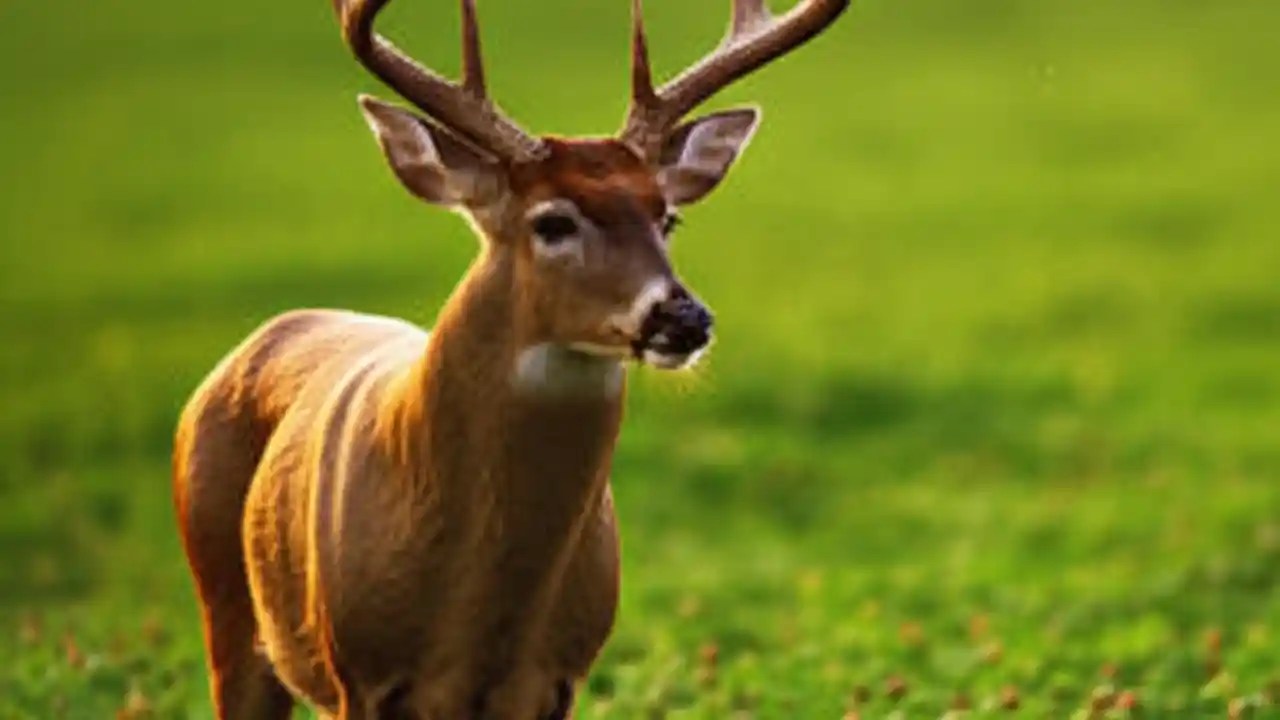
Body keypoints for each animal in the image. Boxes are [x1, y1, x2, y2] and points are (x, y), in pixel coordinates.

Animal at [172, 0, 847, 717]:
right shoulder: (358, 672)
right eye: (553, 221)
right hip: (226, 603)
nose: (683, 318)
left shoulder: (559, 678)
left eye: (667, 218)